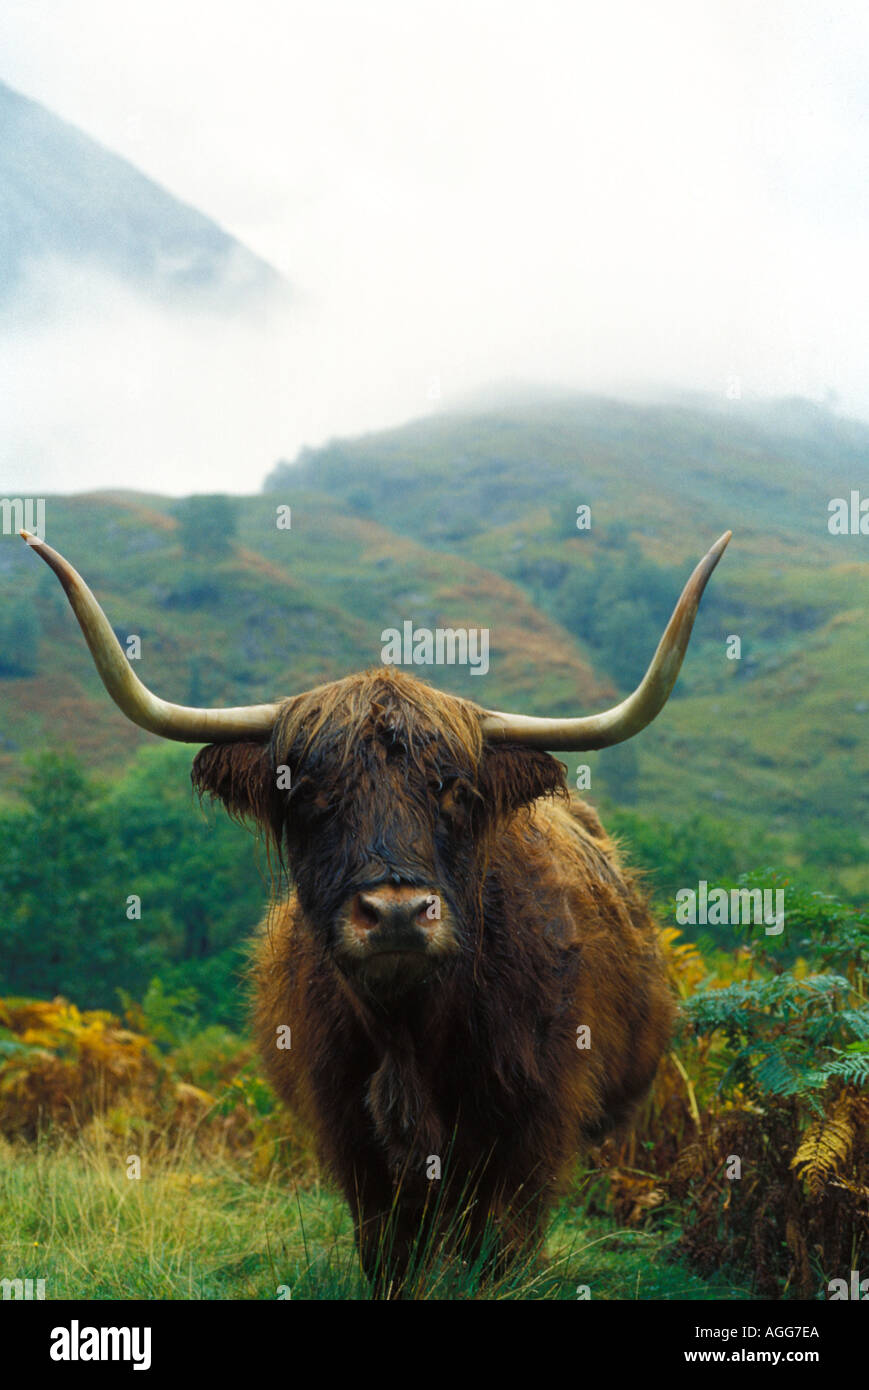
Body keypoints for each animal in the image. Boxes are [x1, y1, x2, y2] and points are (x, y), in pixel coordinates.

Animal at [21, 526, 730, 1295]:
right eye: (306, 791)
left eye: (454, 790)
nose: (395, 913)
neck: (410, 1031)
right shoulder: (350, 1133)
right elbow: (389, 1251)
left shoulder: (531, 1123)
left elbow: (500, 1248)